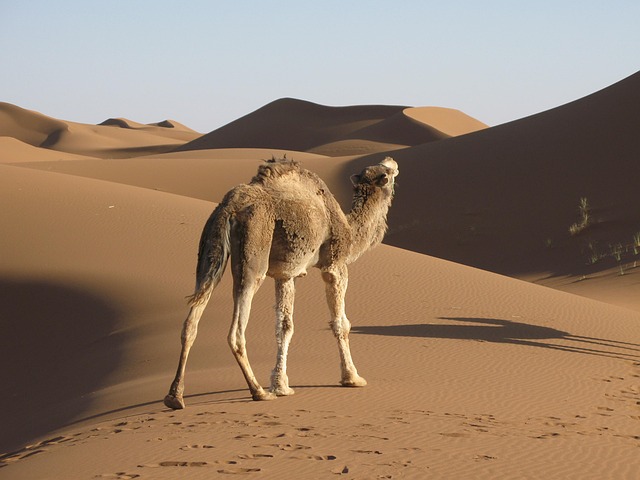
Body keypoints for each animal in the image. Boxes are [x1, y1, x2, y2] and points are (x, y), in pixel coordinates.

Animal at [164, 156, 399, 409]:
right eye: (388, 172)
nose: (392, 161)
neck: (349, 230)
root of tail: (228, 208)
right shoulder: (335, 266)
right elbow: (340, 323)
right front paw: (352, 378)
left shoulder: (286, 275)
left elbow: (285, 327)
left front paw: (281, 385)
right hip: (254, 253)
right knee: (236, 331)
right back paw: (258, 391)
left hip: (208, 251)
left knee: (191, 320)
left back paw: (175, 396)